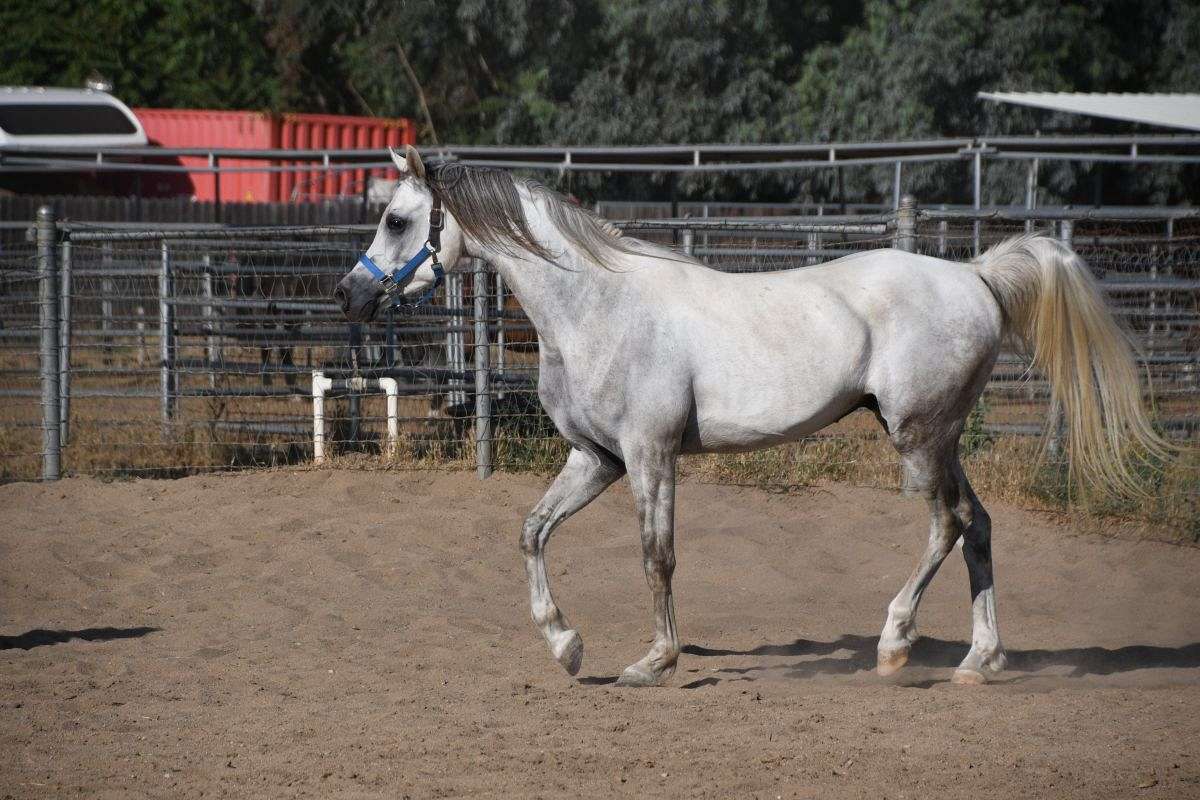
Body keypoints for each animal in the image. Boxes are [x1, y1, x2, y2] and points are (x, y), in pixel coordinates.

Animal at [335, 145, 1173, 687]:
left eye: (398, 221)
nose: (349, 295)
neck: (598, 306)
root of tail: (974, 275)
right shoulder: (595, 458)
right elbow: (533, 532)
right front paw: (567, 647)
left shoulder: (649, 454)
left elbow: (657, 556)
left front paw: (653, 662)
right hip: (940, 438)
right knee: (980, 526)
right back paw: (979, 661)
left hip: (918, 438)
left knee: (947, 524)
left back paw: (895, 645)